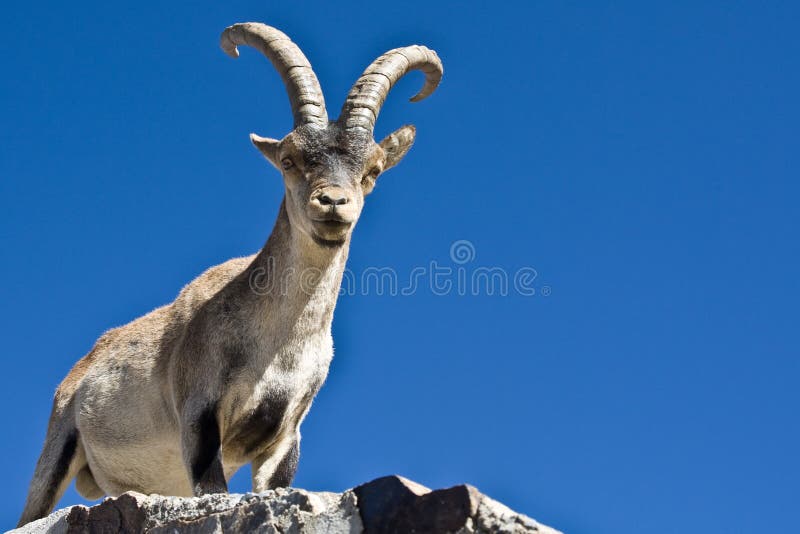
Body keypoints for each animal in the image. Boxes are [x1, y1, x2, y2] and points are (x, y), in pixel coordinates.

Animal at [17, 22, 442, 527]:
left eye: (372, 170)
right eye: (289, 160)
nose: (333, 203)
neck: (278, 344)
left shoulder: (285, 436)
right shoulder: (200, 415)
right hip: (57, 446)